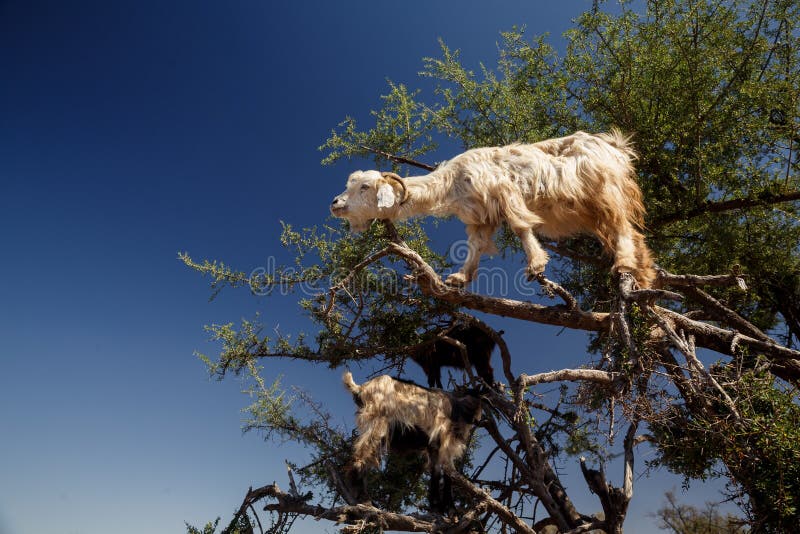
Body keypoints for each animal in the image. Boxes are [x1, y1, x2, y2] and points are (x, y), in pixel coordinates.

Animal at [330, 130, 656, 288]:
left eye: (364, 186)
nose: (335, 203)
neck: (452, 181)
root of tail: (615, 146)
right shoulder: (481, 215)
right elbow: (475, 245)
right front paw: (460, 278)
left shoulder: (504, 192)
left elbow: (521, 226)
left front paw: (536, 265)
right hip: (592, 208)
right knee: (632, 234)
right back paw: (643, 277)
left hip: (605, 191)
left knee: (621, 227)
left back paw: (624, 265)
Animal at [343, 372, 482, 512]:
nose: (477, 420)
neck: (456, 407)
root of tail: (361, 389)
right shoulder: (445, 443)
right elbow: (449, 475)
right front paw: (450, 509)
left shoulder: (434, 447)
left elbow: (436, 472)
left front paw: (436, 506)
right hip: (377, 423)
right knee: (361, 456)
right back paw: (364, 499)